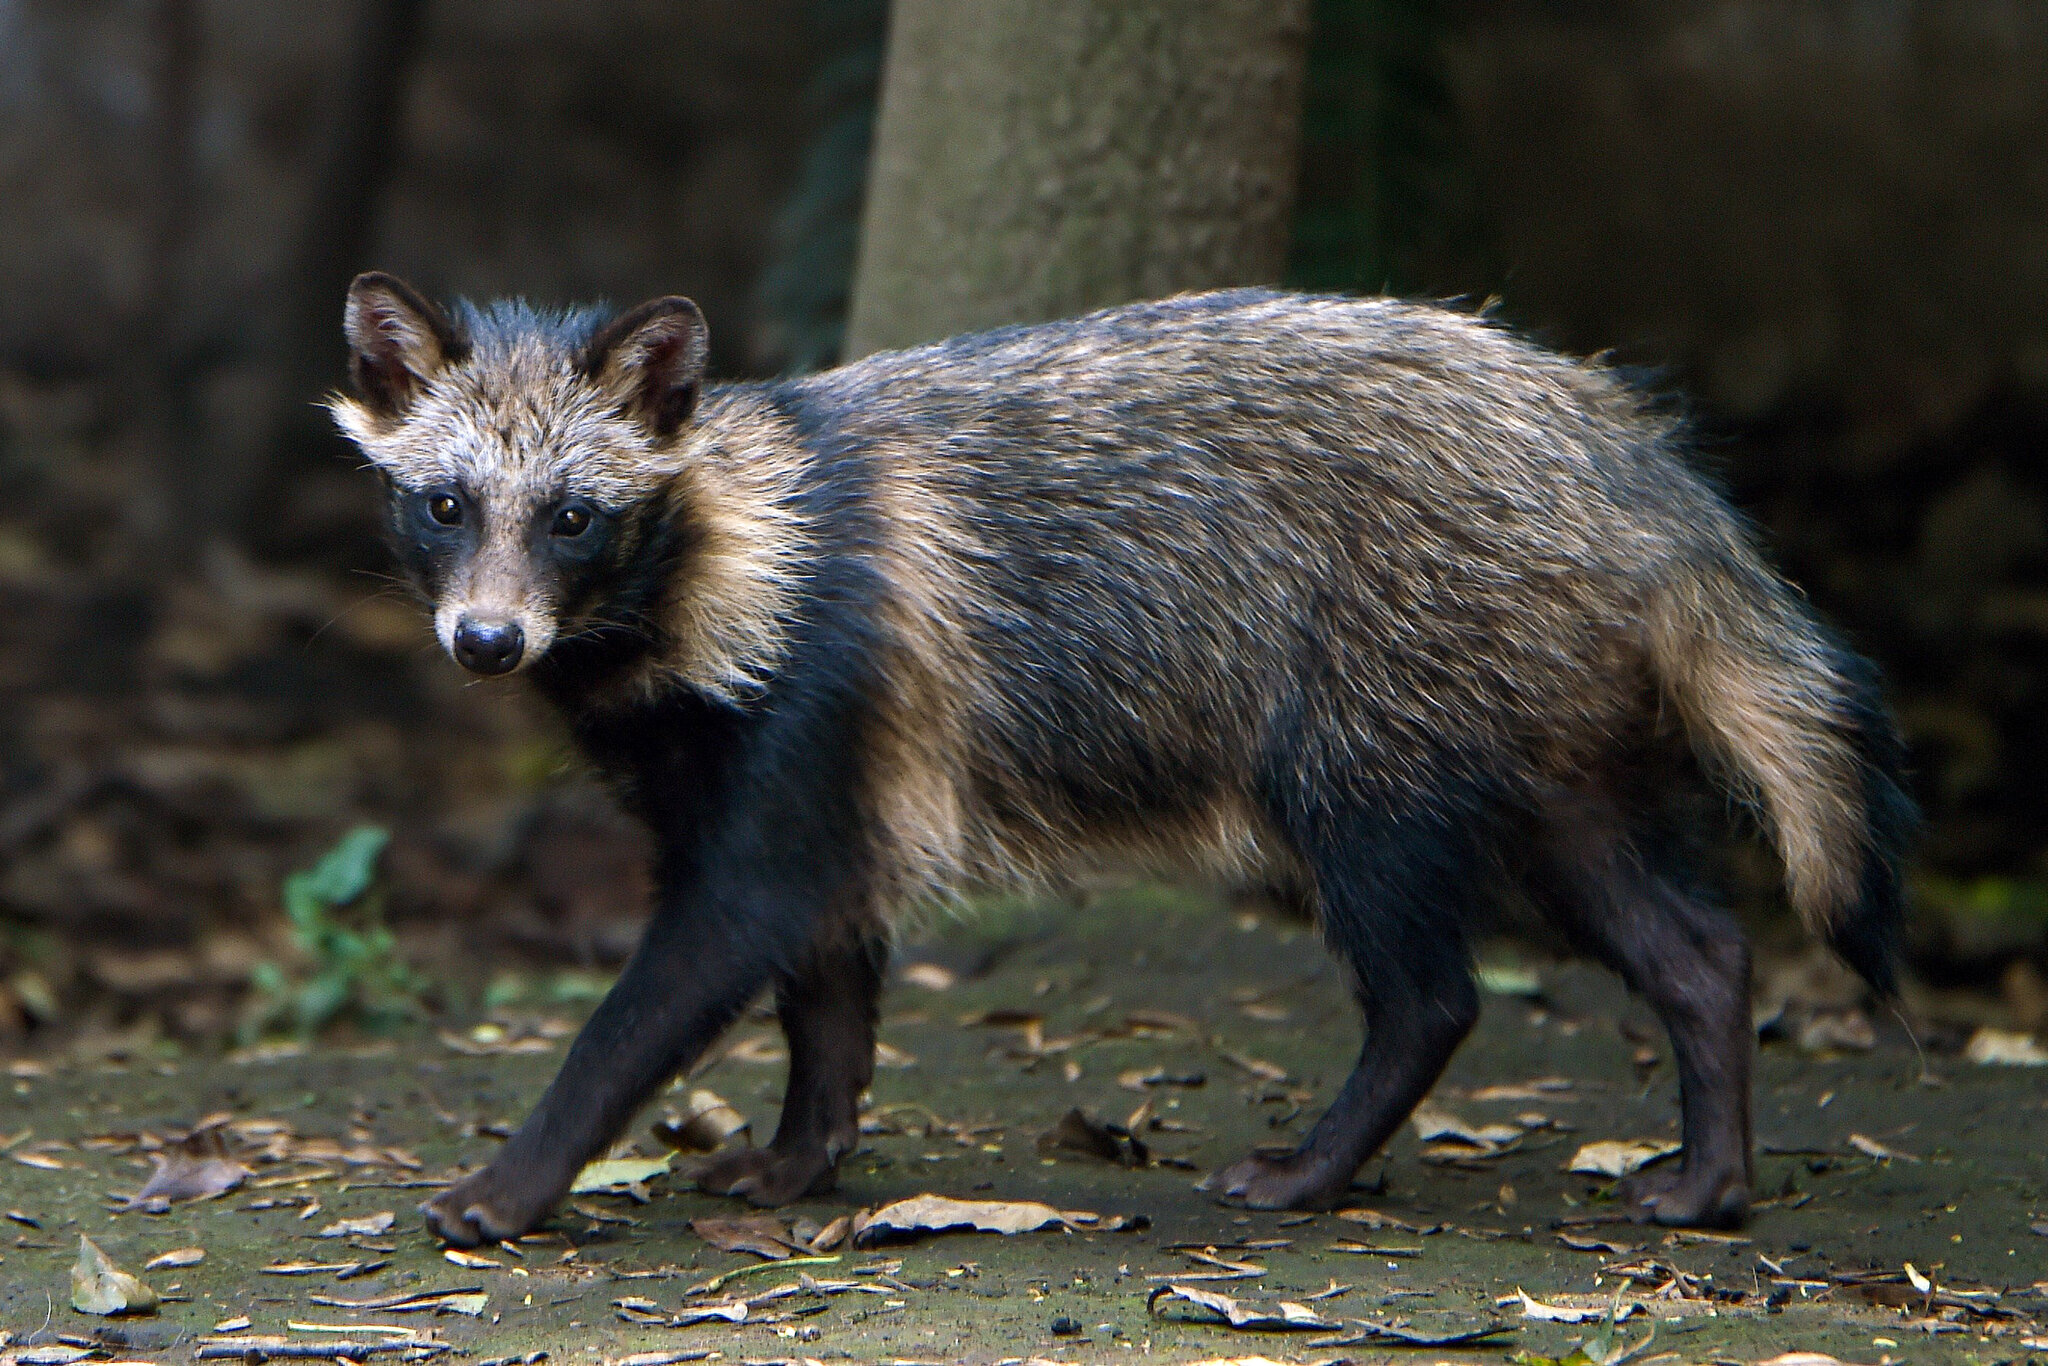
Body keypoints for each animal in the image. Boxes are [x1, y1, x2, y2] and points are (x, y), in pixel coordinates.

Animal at [333, 272, 1915, 1247]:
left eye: (574, 518)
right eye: (445, 503)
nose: (487, 641)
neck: (729, 551)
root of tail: (1610, 439)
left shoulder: (805, 734)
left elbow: (657, 999)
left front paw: (516, 1176)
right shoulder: (796, 783)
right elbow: (827, 995)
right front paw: (803, 1149)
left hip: (1366, 739)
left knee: (1432, 990)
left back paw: (1322, 1161)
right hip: (1536, 756)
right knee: (1695, 944)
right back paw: (1713, 1167)